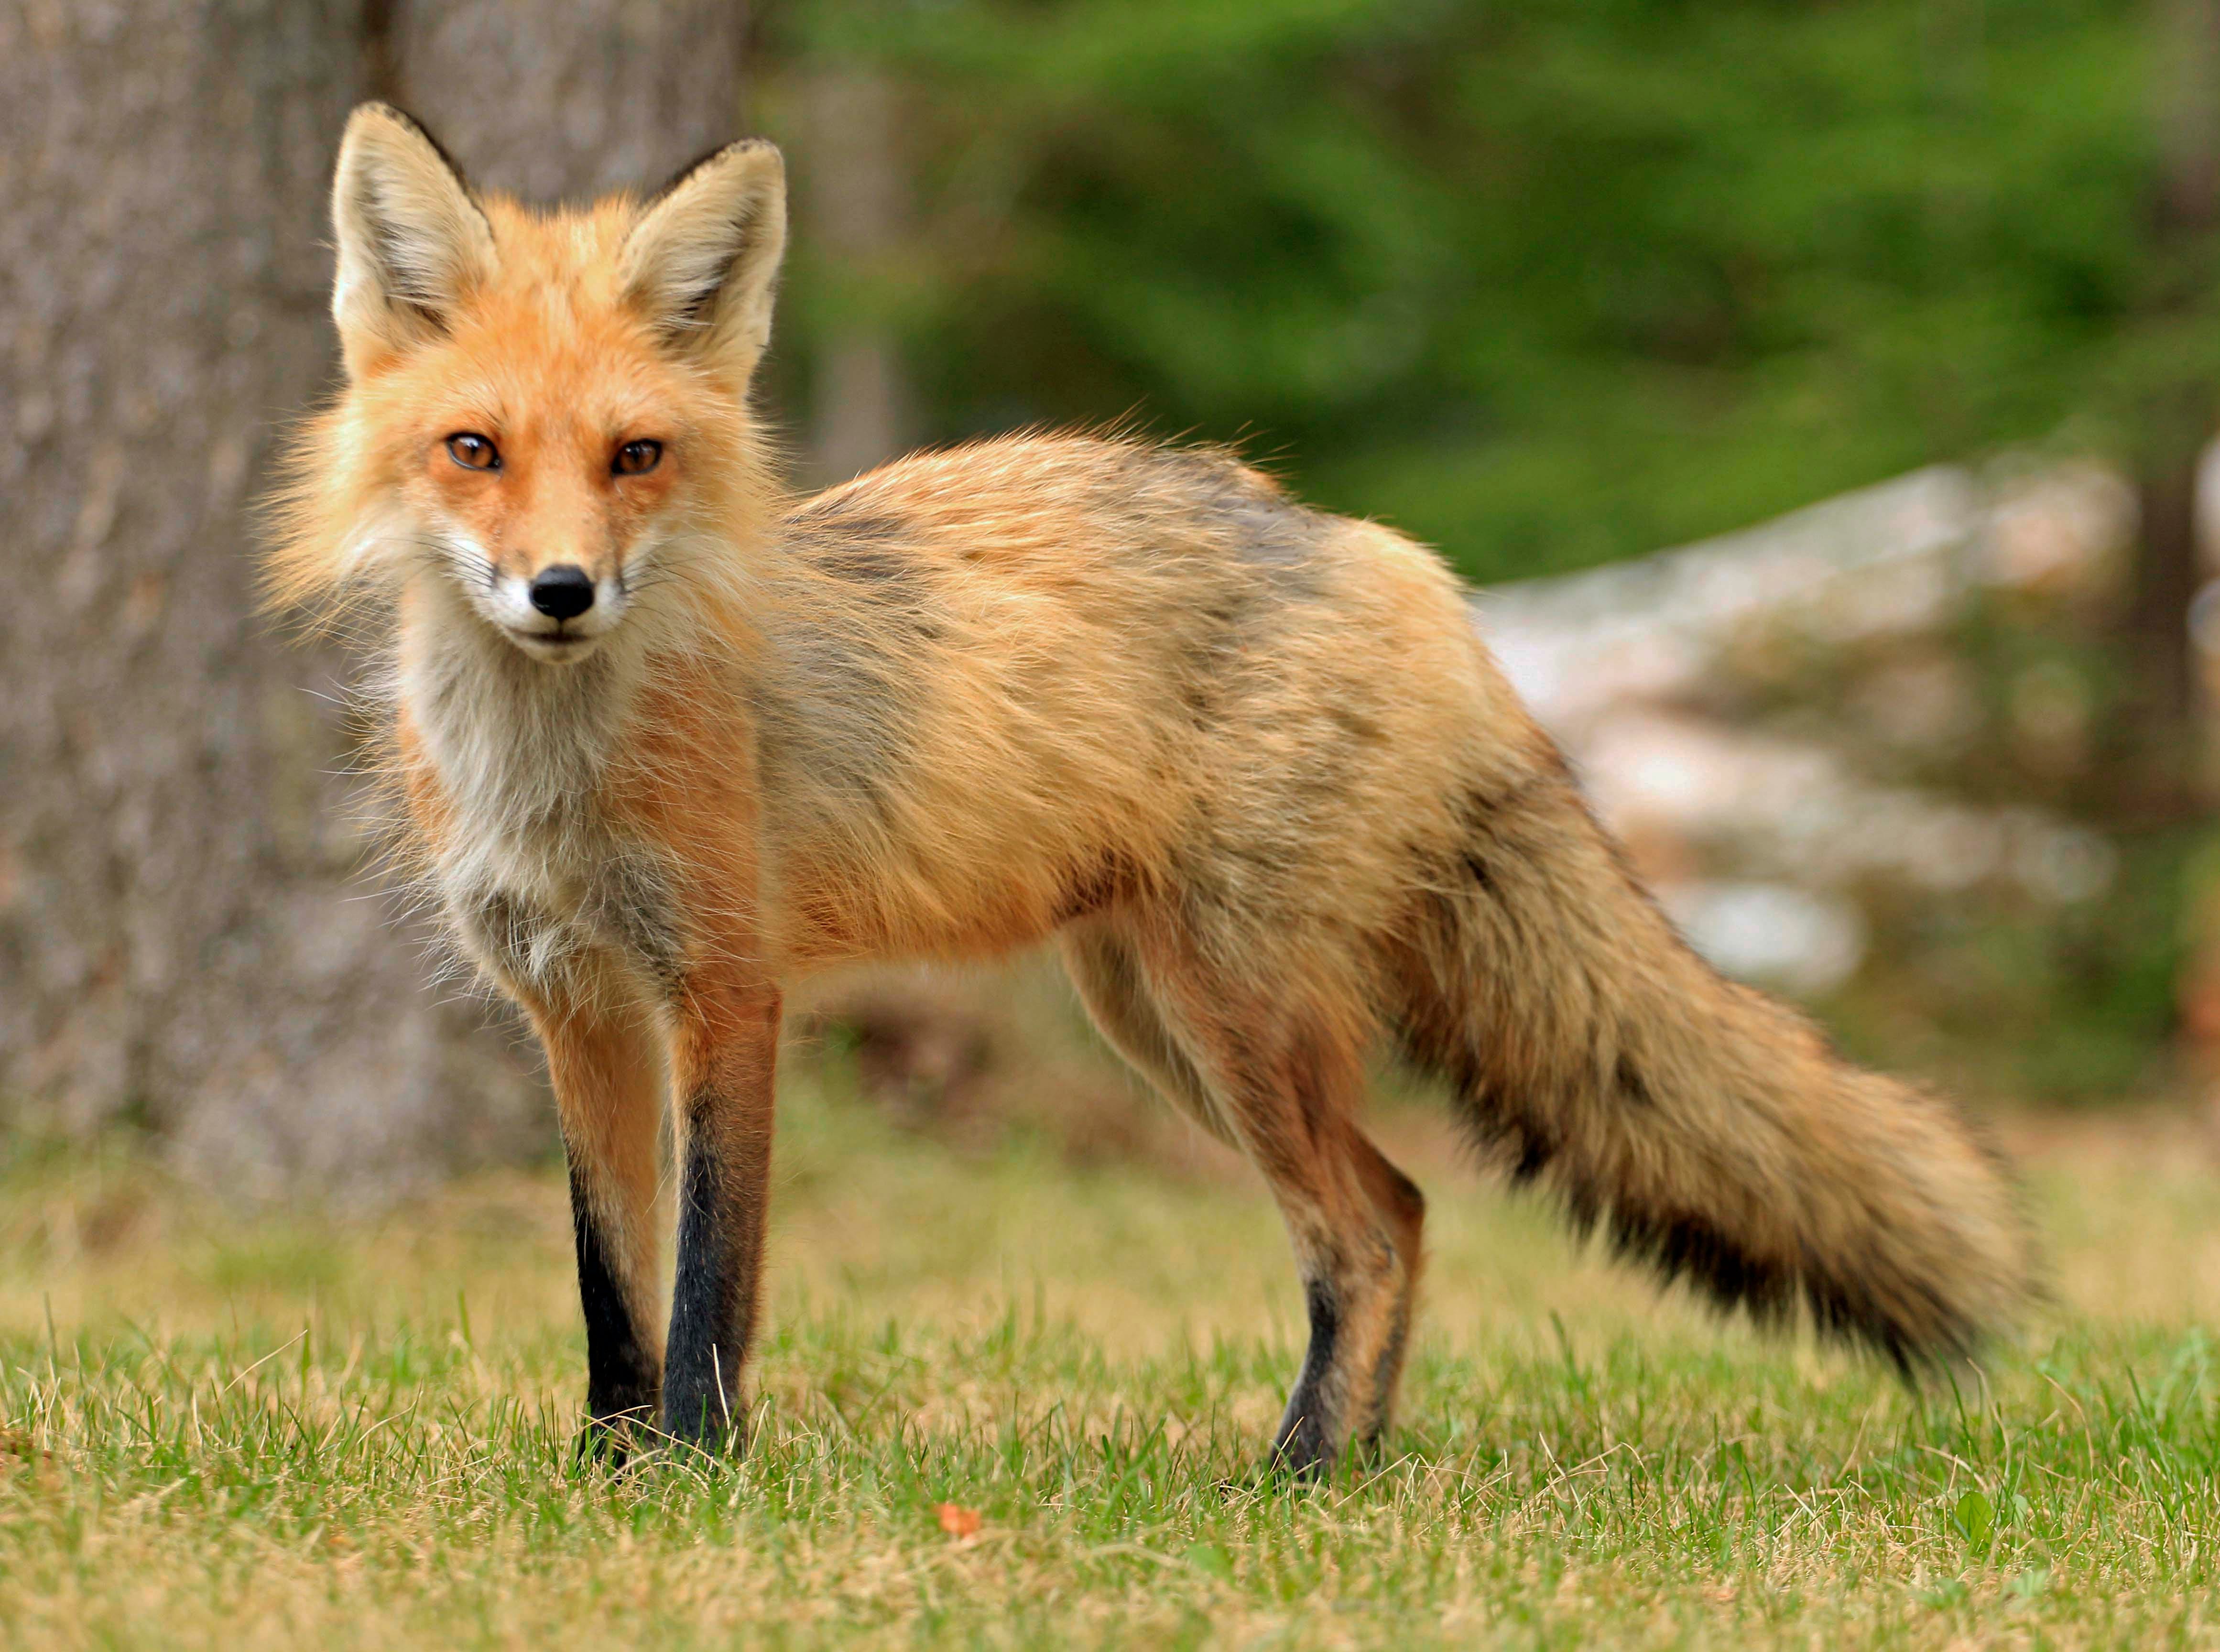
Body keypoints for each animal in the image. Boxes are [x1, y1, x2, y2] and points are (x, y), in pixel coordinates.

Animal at [266, 102, 2036, 1473]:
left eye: (636, 457)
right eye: (474, 450)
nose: (561, 592)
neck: (554, 767)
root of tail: (1390, 559)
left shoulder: (726, 988)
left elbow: (710, 1284)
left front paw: (699, 1477)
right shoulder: (572, 1005)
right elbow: (608, 1284)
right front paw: (609, 1473)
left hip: (1229, 1007)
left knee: (1367, 1225)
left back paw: (1298, 1479)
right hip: (1153, 1013)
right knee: (1401, 1205)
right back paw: (1355, 1463)